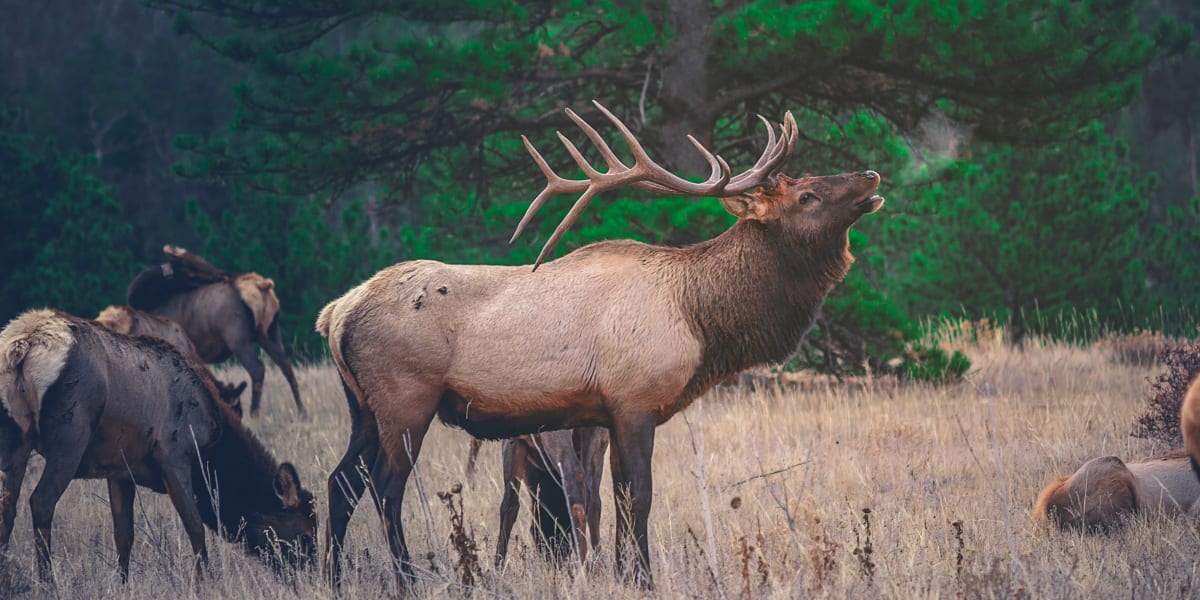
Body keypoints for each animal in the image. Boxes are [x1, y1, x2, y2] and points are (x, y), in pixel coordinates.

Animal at [0, 309, 317, 583]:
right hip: (71, 434)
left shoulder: (119, 470)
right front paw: (203, 582)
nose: (311, 574)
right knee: (41, 500)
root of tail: (22, 346)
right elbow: (195, 526)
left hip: (16, 440)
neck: (211, 446)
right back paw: (47, 583)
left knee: (7, 507)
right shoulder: (174, 456)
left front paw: (123, 583)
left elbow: (124, 534)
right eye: (305, 534)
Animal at [317, 101, 884, 590]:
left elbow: (612, 499)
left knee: (340, 482)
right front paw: (644, 580)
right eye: (806, 196)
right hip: (406, 398)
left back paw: (333, 578)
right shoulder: (634, 401)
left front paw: (623, 574)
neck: (699, 319)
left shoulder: (603, 413)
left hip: (363, 407)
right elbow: (640, 498)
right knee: (385, 489)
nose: (871, 176)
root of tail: (336, 314)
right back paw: (406, 580)